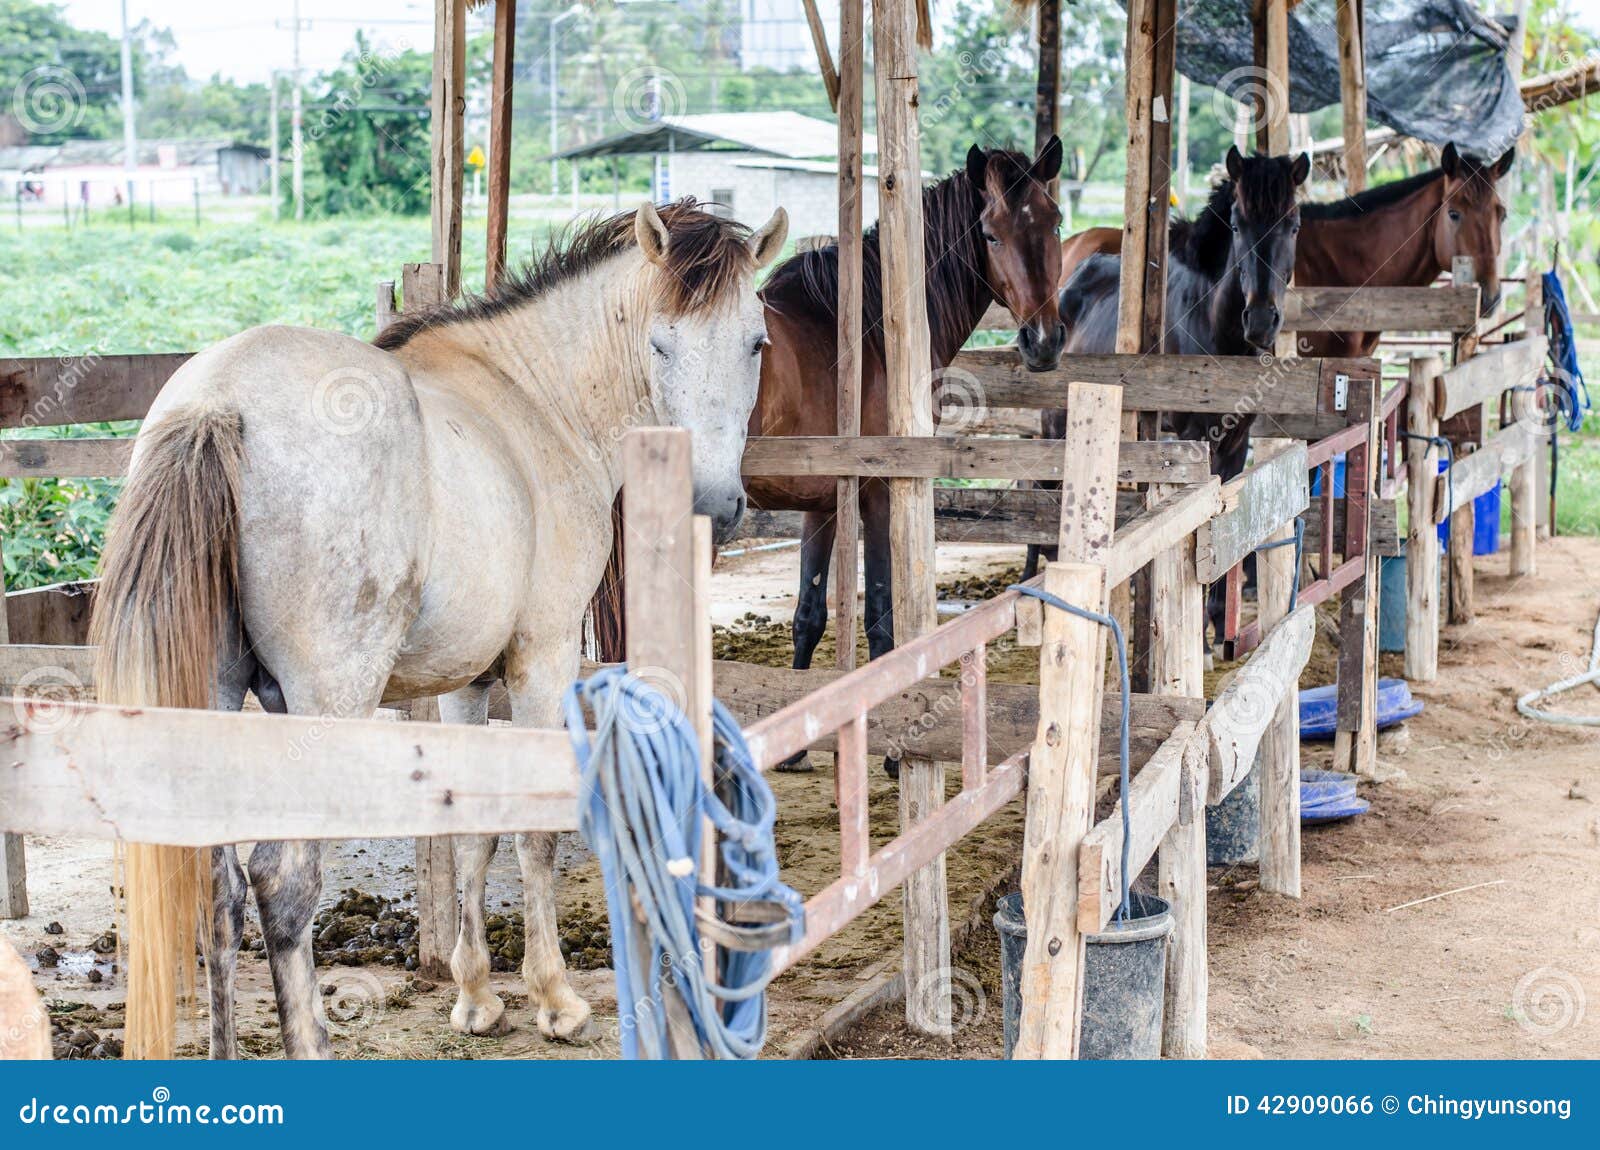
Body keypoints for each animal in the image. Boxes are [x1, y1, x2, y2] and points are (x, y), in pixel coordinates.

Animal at [98, 200, 788, 1059]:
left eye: (754, 342)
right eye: (659, 342)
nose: (712, 505)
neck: (536, 399)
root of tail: (217, 404)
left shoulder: (470, 682)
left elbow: (472, 832)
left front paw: (476, 996)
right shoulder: (540, 660)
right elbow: (532, 831)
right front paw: (554, 998)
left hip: (215, 706)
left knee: (218, 891)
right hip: (329, 708)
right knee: (282, 886)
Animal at [744, 140, 1065, 769]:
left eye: (1056, 222)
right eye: (990, 235)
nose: (1043, 341)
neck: (870, 329)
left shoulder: (822, 502)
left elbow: (809, 614)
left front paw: (794, 748)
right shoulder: (880, 494)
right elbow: (882, 619)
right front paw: (895, 751)